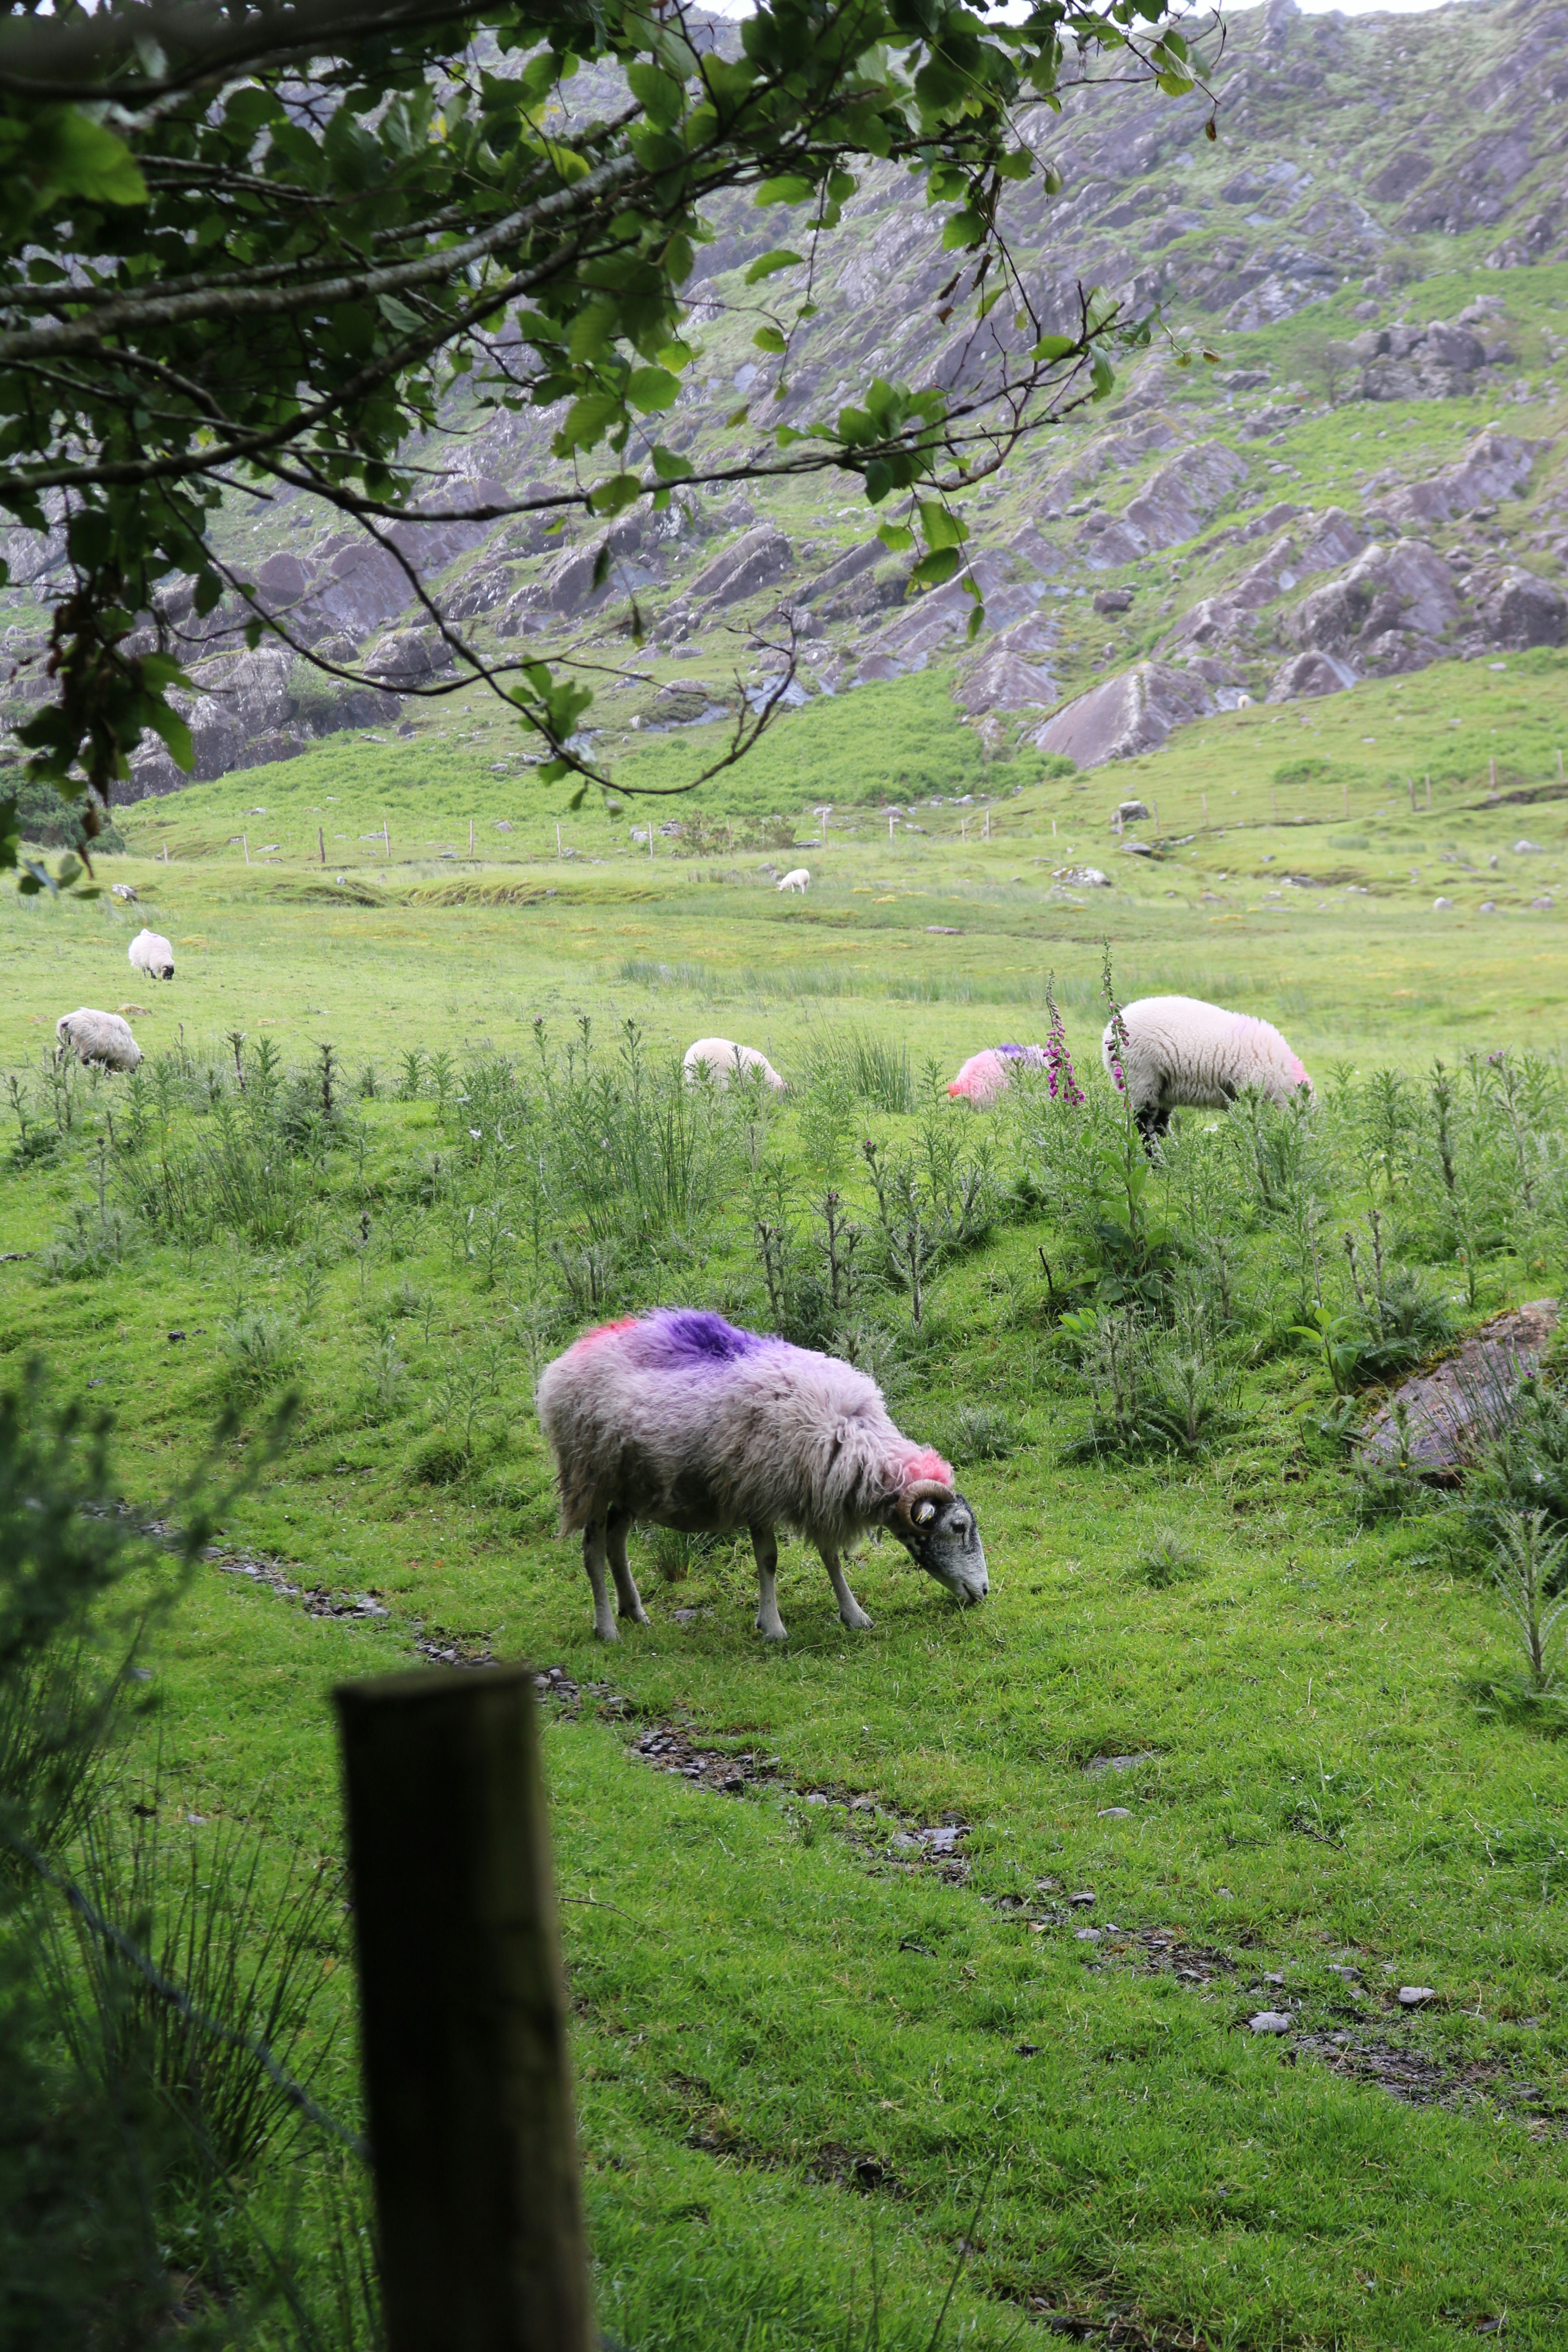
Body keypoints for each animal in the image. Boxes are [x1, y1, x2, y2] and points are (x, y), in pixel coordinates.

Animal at [56, 1009, 142, 1072]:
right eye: (138, 1063)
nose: (133, 1072)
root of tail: (68, 1021)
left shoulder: (103, 1056)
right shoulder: (110, 1056)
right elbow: (107, 1069)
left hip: (66, 1041)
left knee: (61, 1052)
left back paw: (60, 1066)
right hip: (82, 1045)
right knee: (81, 1060)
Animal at [128, 927, 174, 981]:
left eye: (173, 973)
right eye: (168, 972)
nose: (169, 980)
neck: (163, 955)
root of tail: (146, 933)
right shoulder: (150, 961)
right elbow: (151, 970)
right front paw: (154, 977)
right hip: (142, 960)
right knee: (143, 969)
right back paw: (145, 976)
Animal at [535, 1308, 987, 1642]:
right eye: (958, 1527)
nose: (984, 1592)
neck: (849, 1437)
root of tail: (566, 1360)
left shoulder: (820, 1495)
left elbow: (830, 1558)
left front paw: (854, 1615)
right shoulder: (760, 1491)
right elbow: (768, 1561)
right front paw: (772, 1627)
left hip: (631, 1484)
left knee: (615, 1541)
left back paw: (634, 1611)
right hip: (589, 1476)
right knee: (593, 1550)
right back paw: (607, 1628)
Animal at [1104, 994, 1311, 1143]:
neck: (1283, 1079)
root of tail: (1108, 1033)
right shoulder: (1249, 1090)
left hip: (1163, 1089)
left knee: (1160, 1123)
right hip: (1141, 1077)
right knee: (1144, 1125)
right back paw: (1160, 1163)